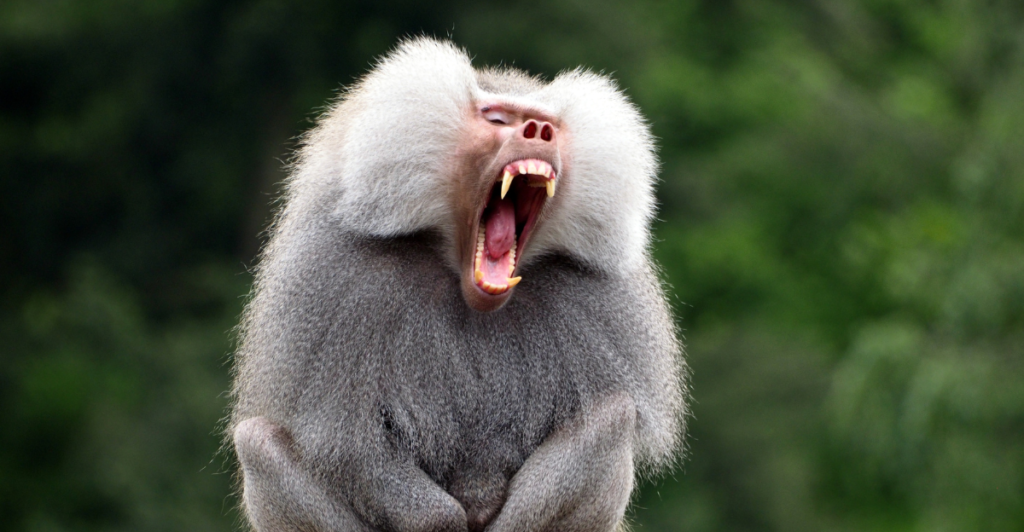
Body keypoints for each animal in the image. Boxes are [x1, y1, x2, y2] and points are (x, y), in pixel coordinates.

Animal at [229, 37, 686, 532]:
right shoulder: (341, 280)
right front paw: (440, 518)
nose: (540, 130)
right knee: (257, 444)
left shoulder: (595, 304)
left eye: (548, 123)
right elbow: (351, 448)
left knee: (613, 420)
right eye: (497, 118)